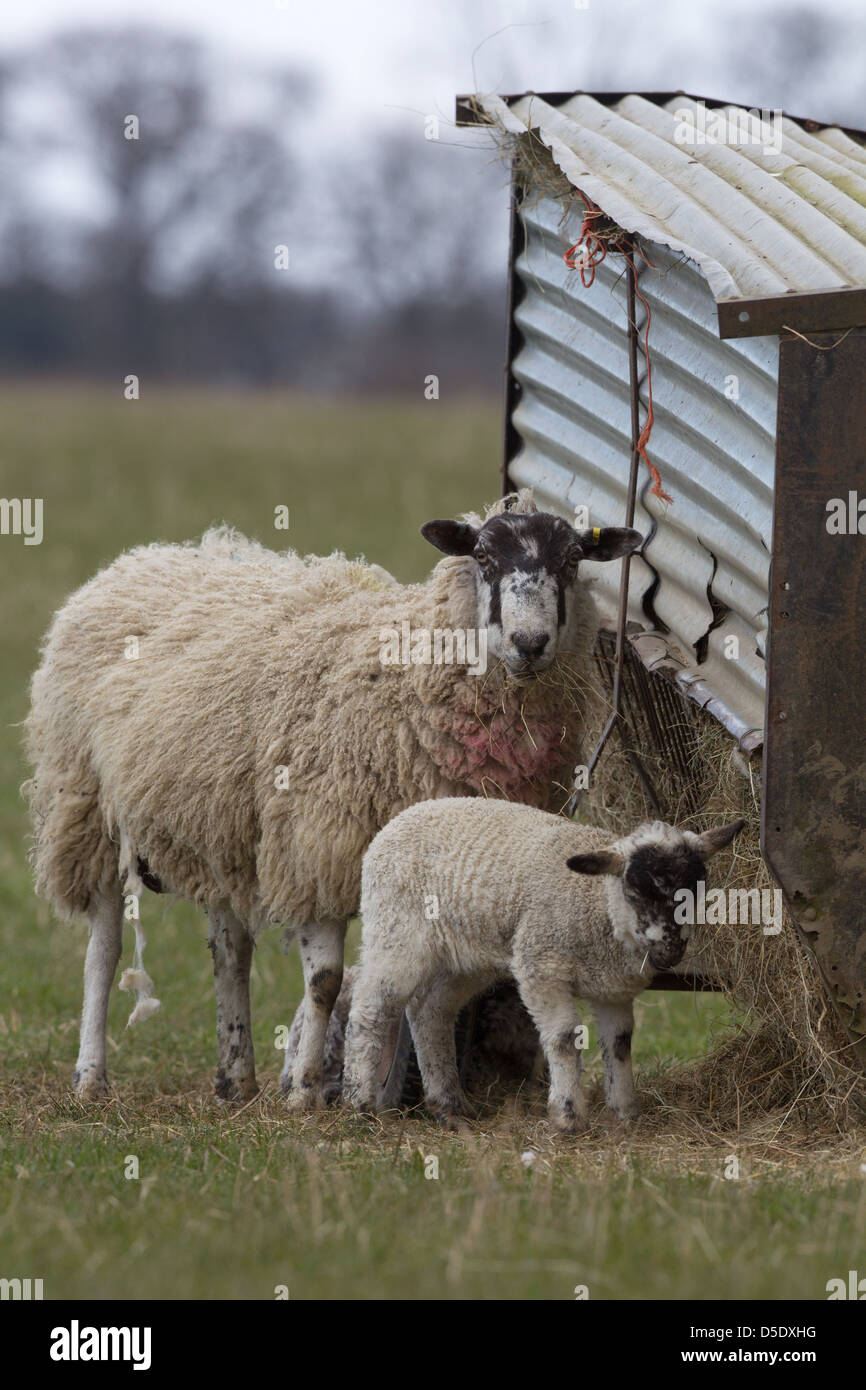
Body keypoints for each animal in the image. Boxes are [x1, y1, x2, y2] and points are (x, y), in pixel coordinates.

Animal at [23, 490, 640, 1106]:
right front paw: (305, 1090)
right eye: (484, 557)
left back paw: (235, 1077)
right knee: (102, 953)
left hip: (223, 826)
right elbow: (326, 983)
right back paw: (91, 1076)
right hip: (84, 808)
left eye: (572, 560)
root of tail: (140, 558)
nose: (529, 644)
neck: (408, 680)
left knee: (229, 949)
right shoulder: (318, 844)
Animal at [343, 799, 744, 1131]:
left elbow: (619, 1044)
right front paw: (568, 1116)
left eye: (698, 891)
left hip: (462, 960)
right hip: (396, 930)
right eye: (634, 890)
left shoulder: (612, 989)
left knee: (430, 1012)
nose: (670, 951)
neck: (596, 903)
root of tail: (400, 819)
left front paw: (625, 1113)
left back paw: (450, 1107)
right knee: (371, 1009)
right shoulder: (541, 965)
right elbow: (565, 1038)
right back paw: (360, 1104)